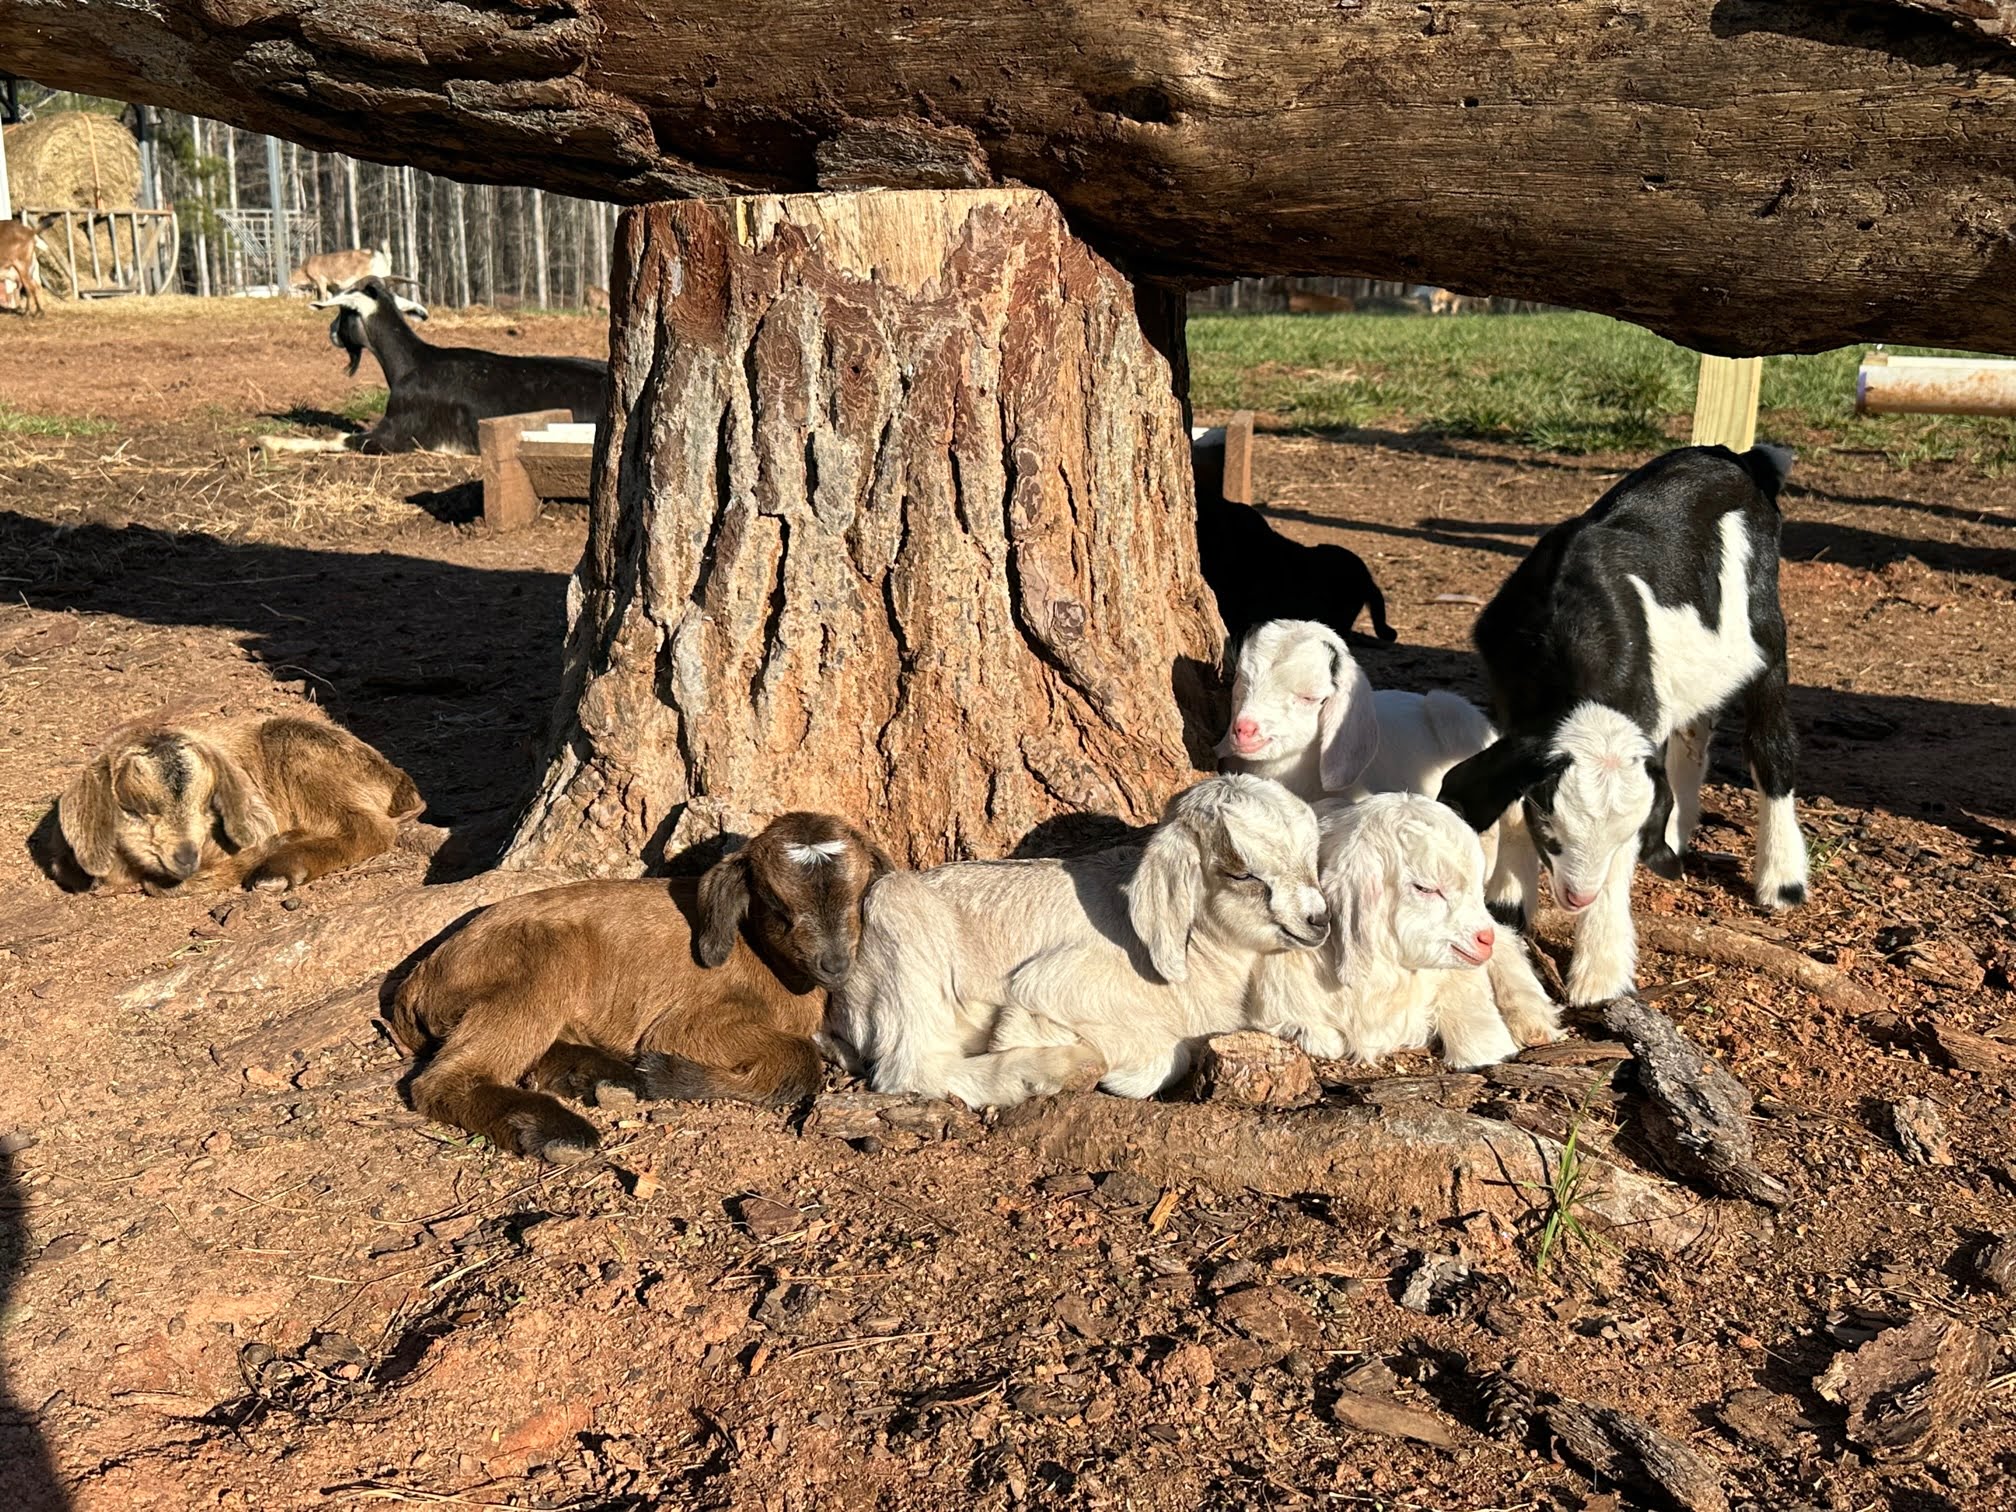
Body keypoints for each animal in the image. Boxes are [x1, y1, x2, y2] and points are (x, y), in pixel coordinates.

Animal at [55, 715, 421, 896]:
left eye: (208, 802)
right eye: (131, 809)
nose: (185, 856)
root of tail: (401, 783)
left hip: (302, 750)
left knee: (370, 828)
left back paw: (278, 870)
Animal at [390, 814, 891, 1161]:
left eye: (859, 897)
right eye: (776, 905)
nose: (835, 964)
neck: (762, 958)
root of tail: (418, 981)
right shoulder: (689, 1023)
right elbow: (799, 1060)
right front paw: (664, 1072)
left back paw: (600, 1078)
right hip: (534, 964)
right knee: (446, 1080)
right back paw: (556, 1129)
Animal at [832, 775, 1329, 1109]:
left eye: (1310, 858)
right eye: (1242, 873)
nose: (1319, 920)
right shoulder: (1052, 982)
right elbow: (1164, 1059)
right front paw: (1023, 1029)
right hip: (900, 927)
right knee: (912, 1068)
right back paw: (1047, 1070)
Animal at [1437, 443, 1804, 1005]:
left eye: (1621, 836)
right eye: (1551, 832)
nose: (1576, 896)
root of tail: (1737, 457)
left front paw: (1600, 974)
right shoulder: (1513, 705)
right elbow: (1513, 805)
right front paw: (1508, 904)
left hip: (1765, 628)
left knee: (1771, 744)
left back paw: (1781, 878)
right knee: (1694, 732)